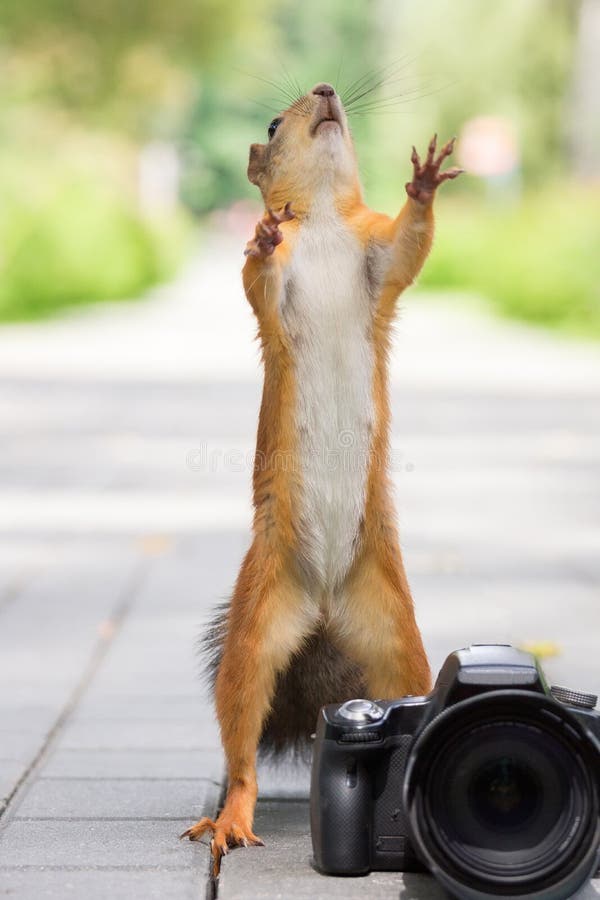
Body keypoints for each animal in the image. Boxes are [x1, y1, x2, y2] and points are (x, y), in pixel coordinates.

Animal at [181, 82, 463, 870]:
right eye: (276, 123)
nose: (329, 91)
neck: (330, 219)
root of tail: (328, 606)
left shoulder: (378, 257)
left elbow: (409, 245)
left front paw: (423, 183)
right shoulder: (269, 290)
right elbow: (258, 278)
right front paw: (263, 238)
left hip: (394, 627)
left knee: (407, 679)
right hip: (257, 620)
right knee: (242, 733)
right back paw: (231, 818)